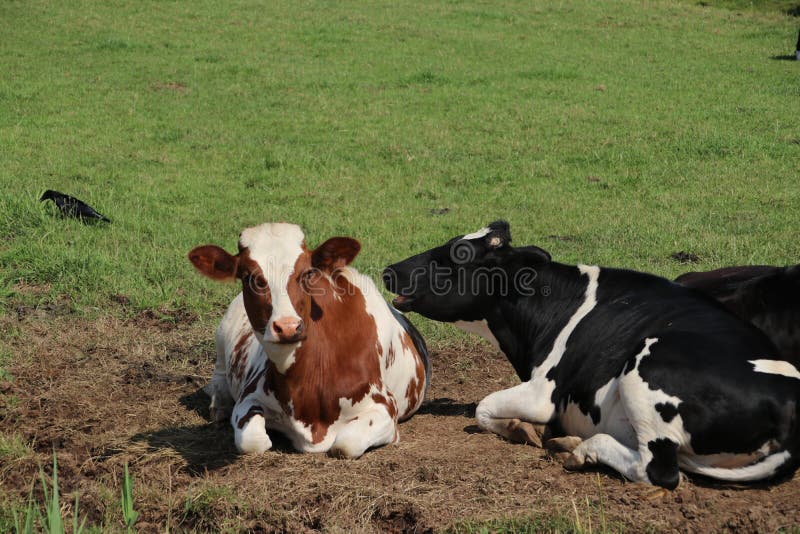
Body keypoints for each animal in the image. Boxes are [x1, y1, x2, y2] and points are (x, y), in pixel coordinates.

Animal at [189, 222, 429, 458]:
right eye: (250, 277)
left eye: (306, 274)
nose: (287, 327)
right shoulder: (249, 397)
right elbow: (252, 440)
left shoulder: (385, 407)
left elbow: (346, 444)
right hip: (222, 335)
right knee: (219, 376)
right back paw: (219, 404)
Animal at [382, 220, 799, 488]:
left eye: (456, 253)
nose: (390, 269)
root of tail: (788, 406)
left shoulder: (543, 393)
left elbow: (483, 408)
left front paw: (523, 429)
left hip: (649, 368)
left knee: (658, 471)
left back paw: (581, 449)